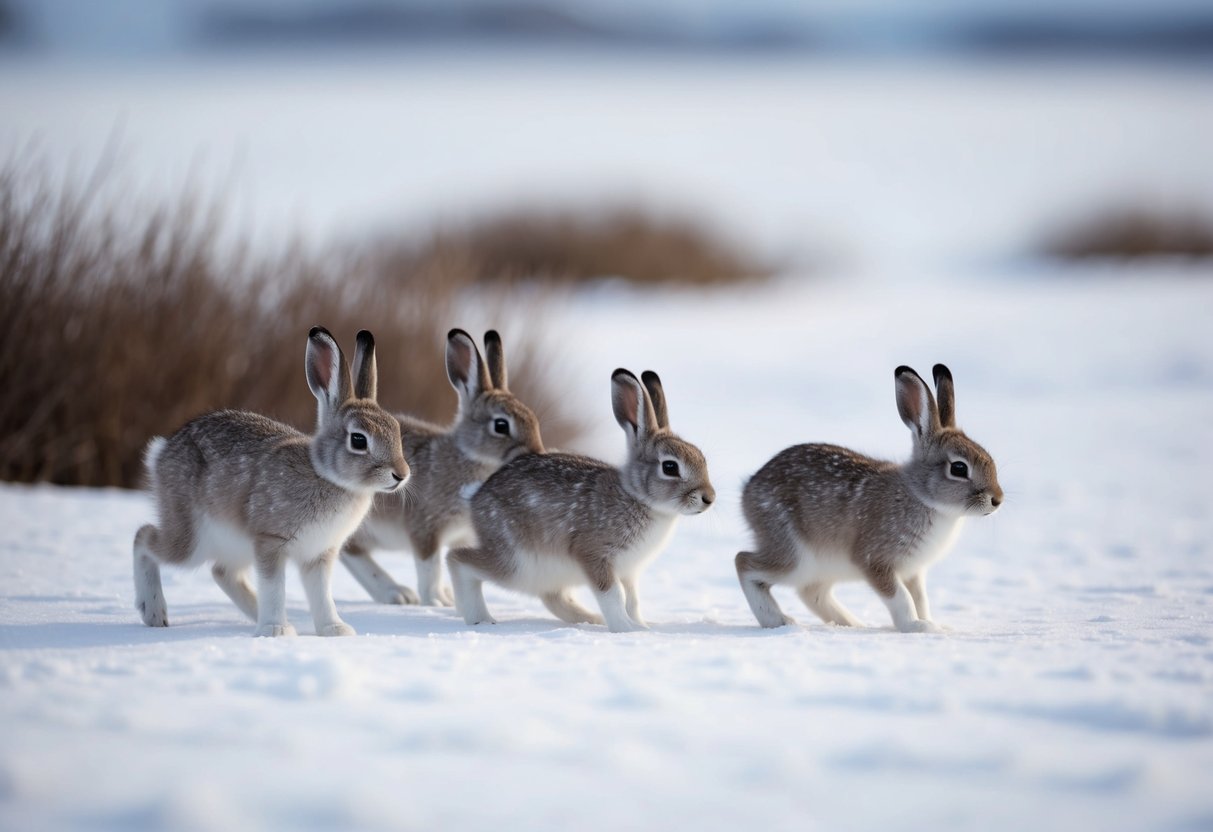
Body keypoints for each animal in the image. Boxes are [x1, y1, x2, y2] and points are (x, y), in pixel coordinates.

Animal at [132, 327, 409, 637]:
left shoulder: (319, 554)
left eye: (396, 431)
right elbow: (274, 587)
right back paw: (154, 612)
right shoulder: (270, 540)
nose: (401, 474)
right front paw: (276, 631)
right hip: (192, 537)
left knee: (222, 572)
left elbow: (322, 594)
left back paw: (268, 618)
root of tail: (162, 453)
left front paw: (334, 630)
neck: (328, 476)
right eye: (359, 440)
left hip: (234, 543)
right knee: (143, 538)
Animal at [339, 328, 545, 606]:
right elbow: (430, 567)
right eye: (501, 425)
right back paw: (396, 594)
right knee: (347, 549)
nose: (537, 452)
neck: (470, 458)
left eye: (532, 418)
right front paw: (436, 602)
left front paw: (449, 598)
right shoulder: (425, 528)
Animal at [447, 368, 714, 633]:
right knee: (458, 560)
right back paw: (479, 618)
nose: (708, 498)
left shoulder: (629, 571)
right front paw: (626, 629)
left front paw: (641, 625)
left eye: (702, 459)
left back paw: (590, 619)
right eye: (670, 467)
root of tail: (477, 496)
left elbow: (633, 599)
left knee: (553, 597)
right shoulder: (595, 555)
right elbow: (613, 595)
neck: (639, 498)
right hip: (517, 562)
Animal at [735, 364, 1003, 633]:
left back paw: (852, 624)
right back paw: (778, 620)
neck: (923, 497)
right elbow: (902, 598)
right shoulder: (876, 561)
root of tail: (749, 490)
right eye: (959, 468)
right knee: (744, 563)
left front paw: (931, 624)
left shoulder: (913, 571)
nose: (997, 499)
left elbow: (920, 598)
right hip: (796, 555)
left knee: (812, 592)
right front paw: (916, 626)